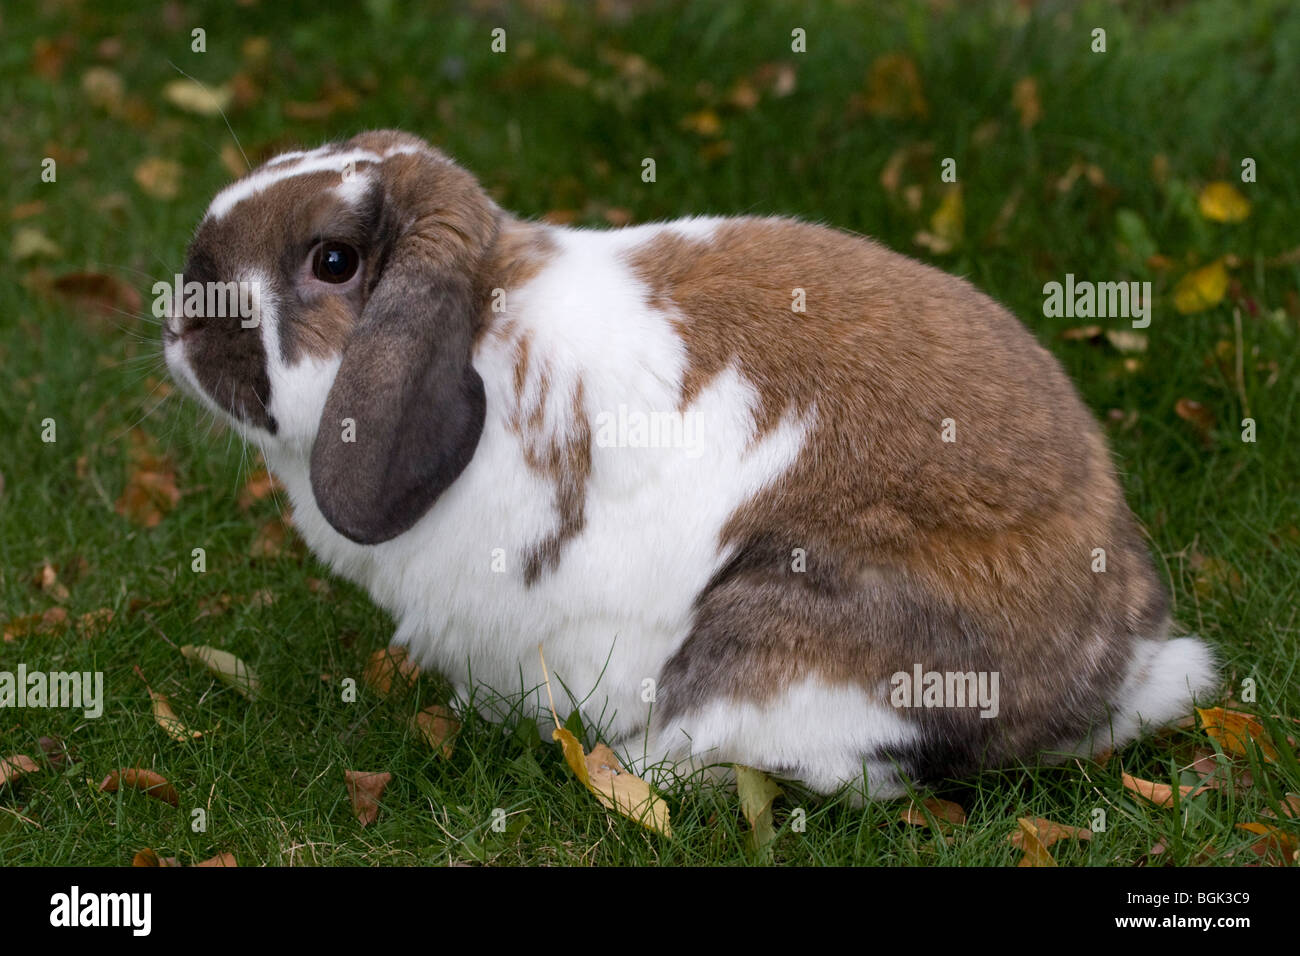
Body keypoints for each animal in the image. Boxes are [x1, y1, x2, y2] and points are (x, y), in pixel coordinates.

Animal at [165, 128, 1216, 801]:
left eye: (333, 262)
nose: (181, 310)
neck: (484, 338)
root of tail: (1115, 663)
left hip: (784, 639)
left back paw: (641, 771)